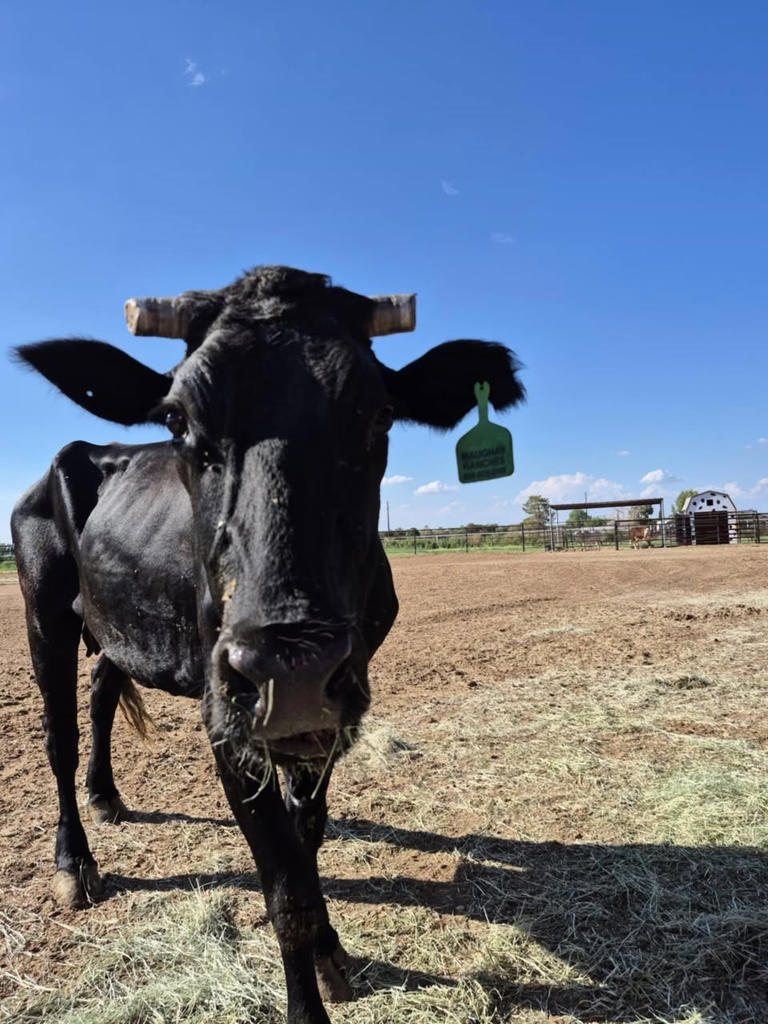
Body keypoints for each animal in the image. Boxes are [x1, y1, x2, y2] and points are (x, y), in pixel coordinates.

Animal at [11, 265, 525, 1024]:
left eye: (378, 415)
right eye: (178, 420)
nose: (293, 668)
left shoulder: (327, 718)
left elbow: (305, 837)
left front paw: (332, 953)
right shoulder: (227, 715)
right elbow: (284, 889)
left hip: (114, 627)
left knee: (103, 690)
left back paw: (107, 795)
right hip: (42, 607)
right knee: (59, 735)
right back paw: (74, 862)